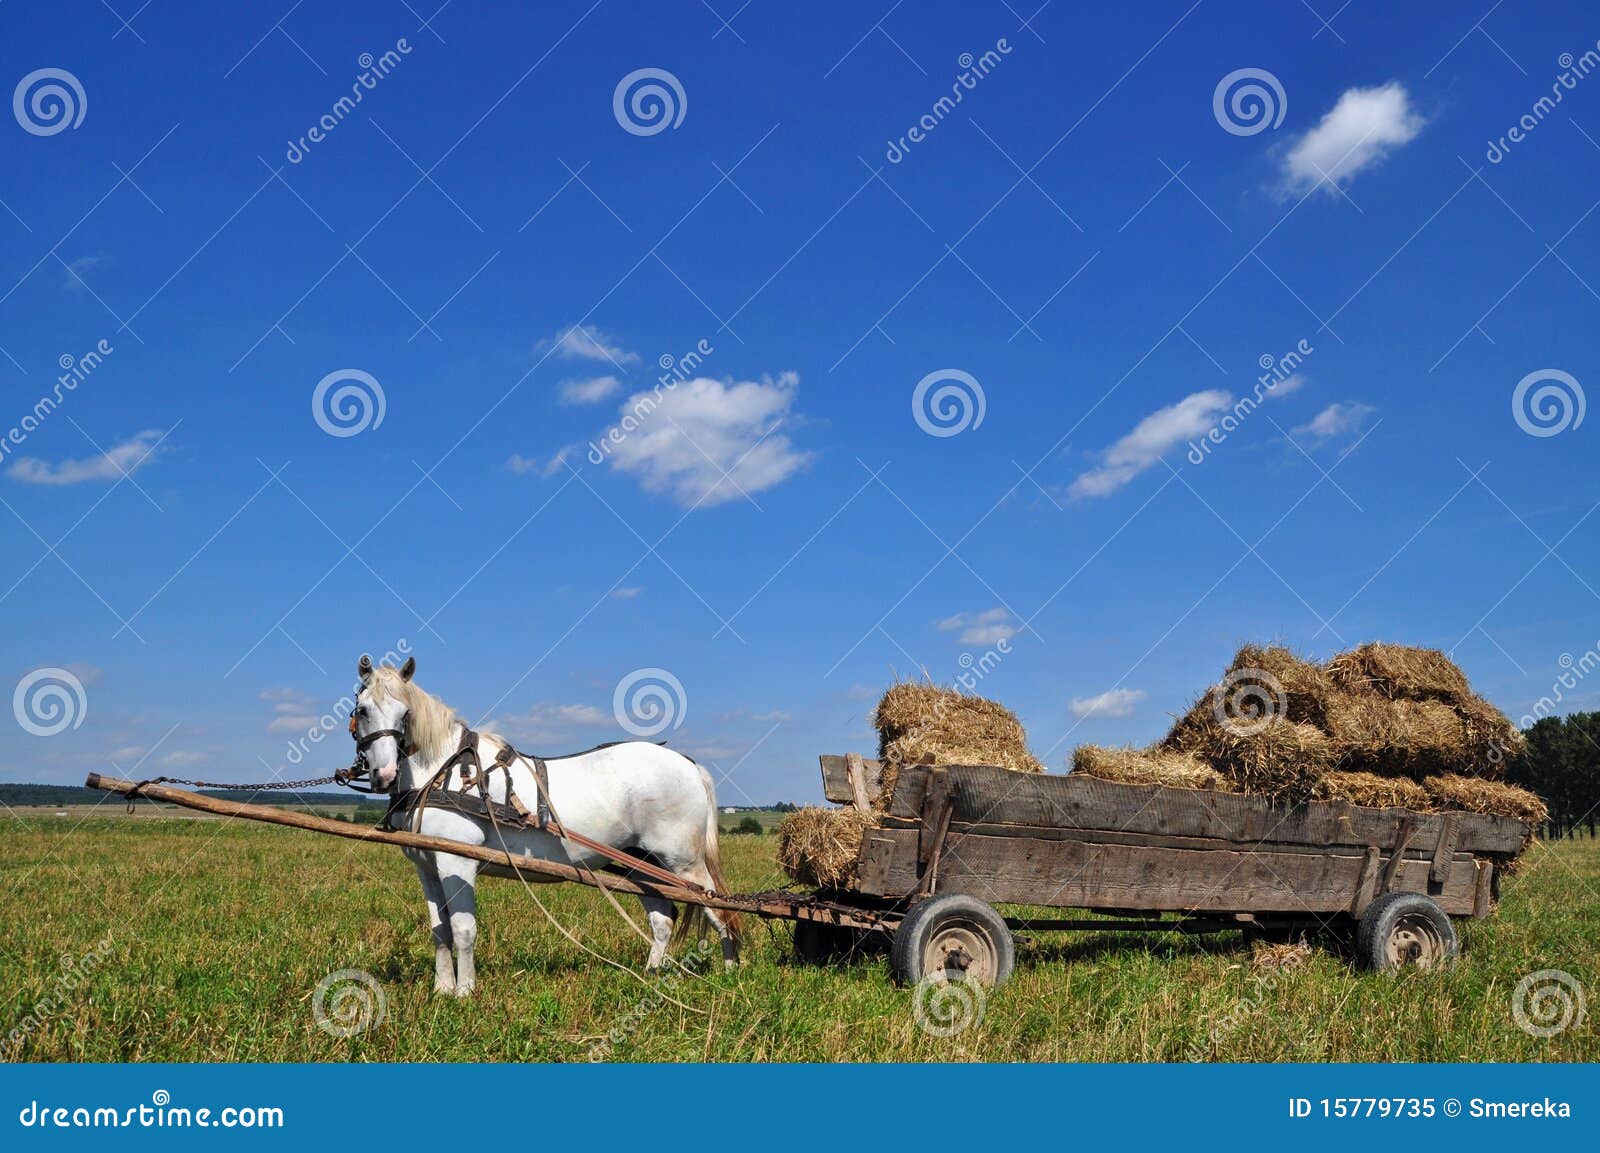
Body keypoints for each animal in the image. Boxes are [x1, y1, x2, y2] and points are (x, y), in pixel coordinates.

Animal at [351, 655, 740, 997]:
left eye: (405, 714)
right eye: (363, 710)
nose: (384, 775)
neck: (446, 771)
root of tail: (688, 764)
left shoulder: (456, 861)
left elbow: (463, 930)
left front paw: (464, 993)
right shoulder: (427, 866)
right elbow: (440, 930)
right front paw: (442, 990)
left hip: (683, 862)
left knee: (720, 910)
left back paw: (731, 974)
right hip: (643, 863)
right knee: (663, 918)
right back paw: (652, 973)